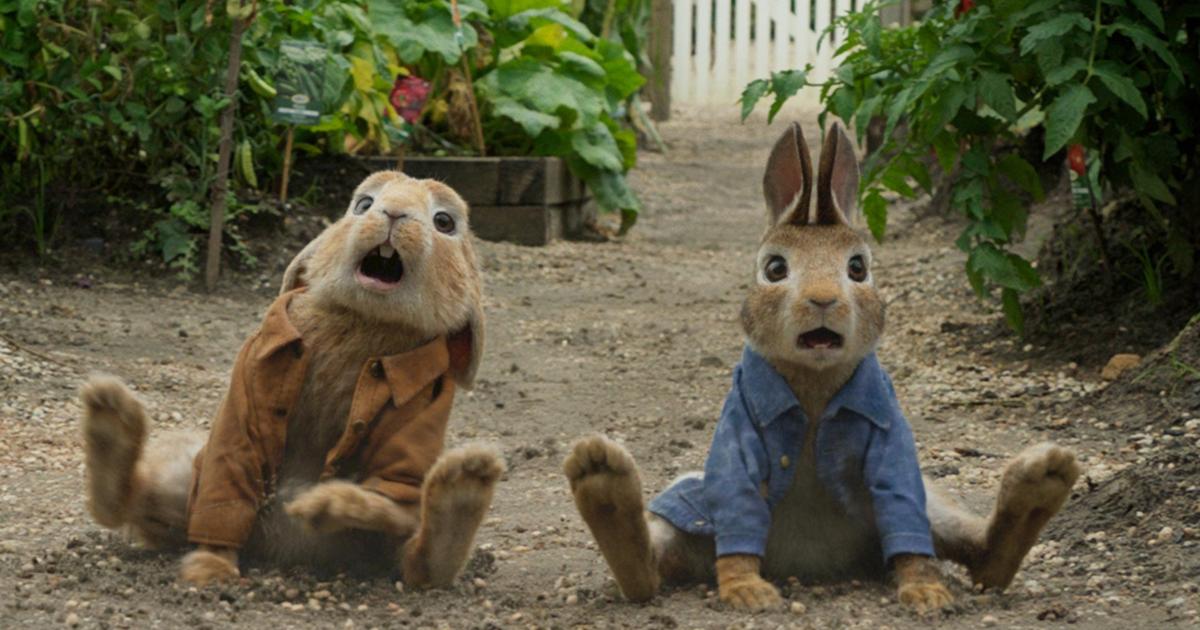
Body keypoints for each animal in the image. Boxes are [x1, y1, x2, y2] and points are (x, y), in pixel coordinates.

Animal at [80, 170, 504, 587]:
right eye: (363, 204)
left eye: (445, 222)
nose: (394, 212)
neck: (368, 320)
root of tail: (280, 549)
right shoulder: (244, 402)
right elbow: (229, 480)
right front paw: (210, 570)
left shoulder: (423, 409)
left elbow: (392, 483)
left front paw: (327, 504)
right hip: (189, 481)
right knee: (133, 504)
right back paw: (110, 413)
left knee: (420, 563)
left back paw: (462, 482)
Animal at [563, 121, 1081, 614]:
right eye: (774, 269)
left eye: (858, 269)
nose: (823, 300)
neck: (813, 384)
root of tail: (811, 564)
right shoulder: (739, 434)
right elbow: (738, 501)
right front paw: (747, 592)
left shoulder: (892, 443)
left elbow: (902, 509)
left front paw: (926, 593)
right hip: (688, 511)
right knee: (652, 569)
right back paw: (600, 476)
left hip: (931, 506)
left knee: (980, 556)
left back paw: (1044, 479)